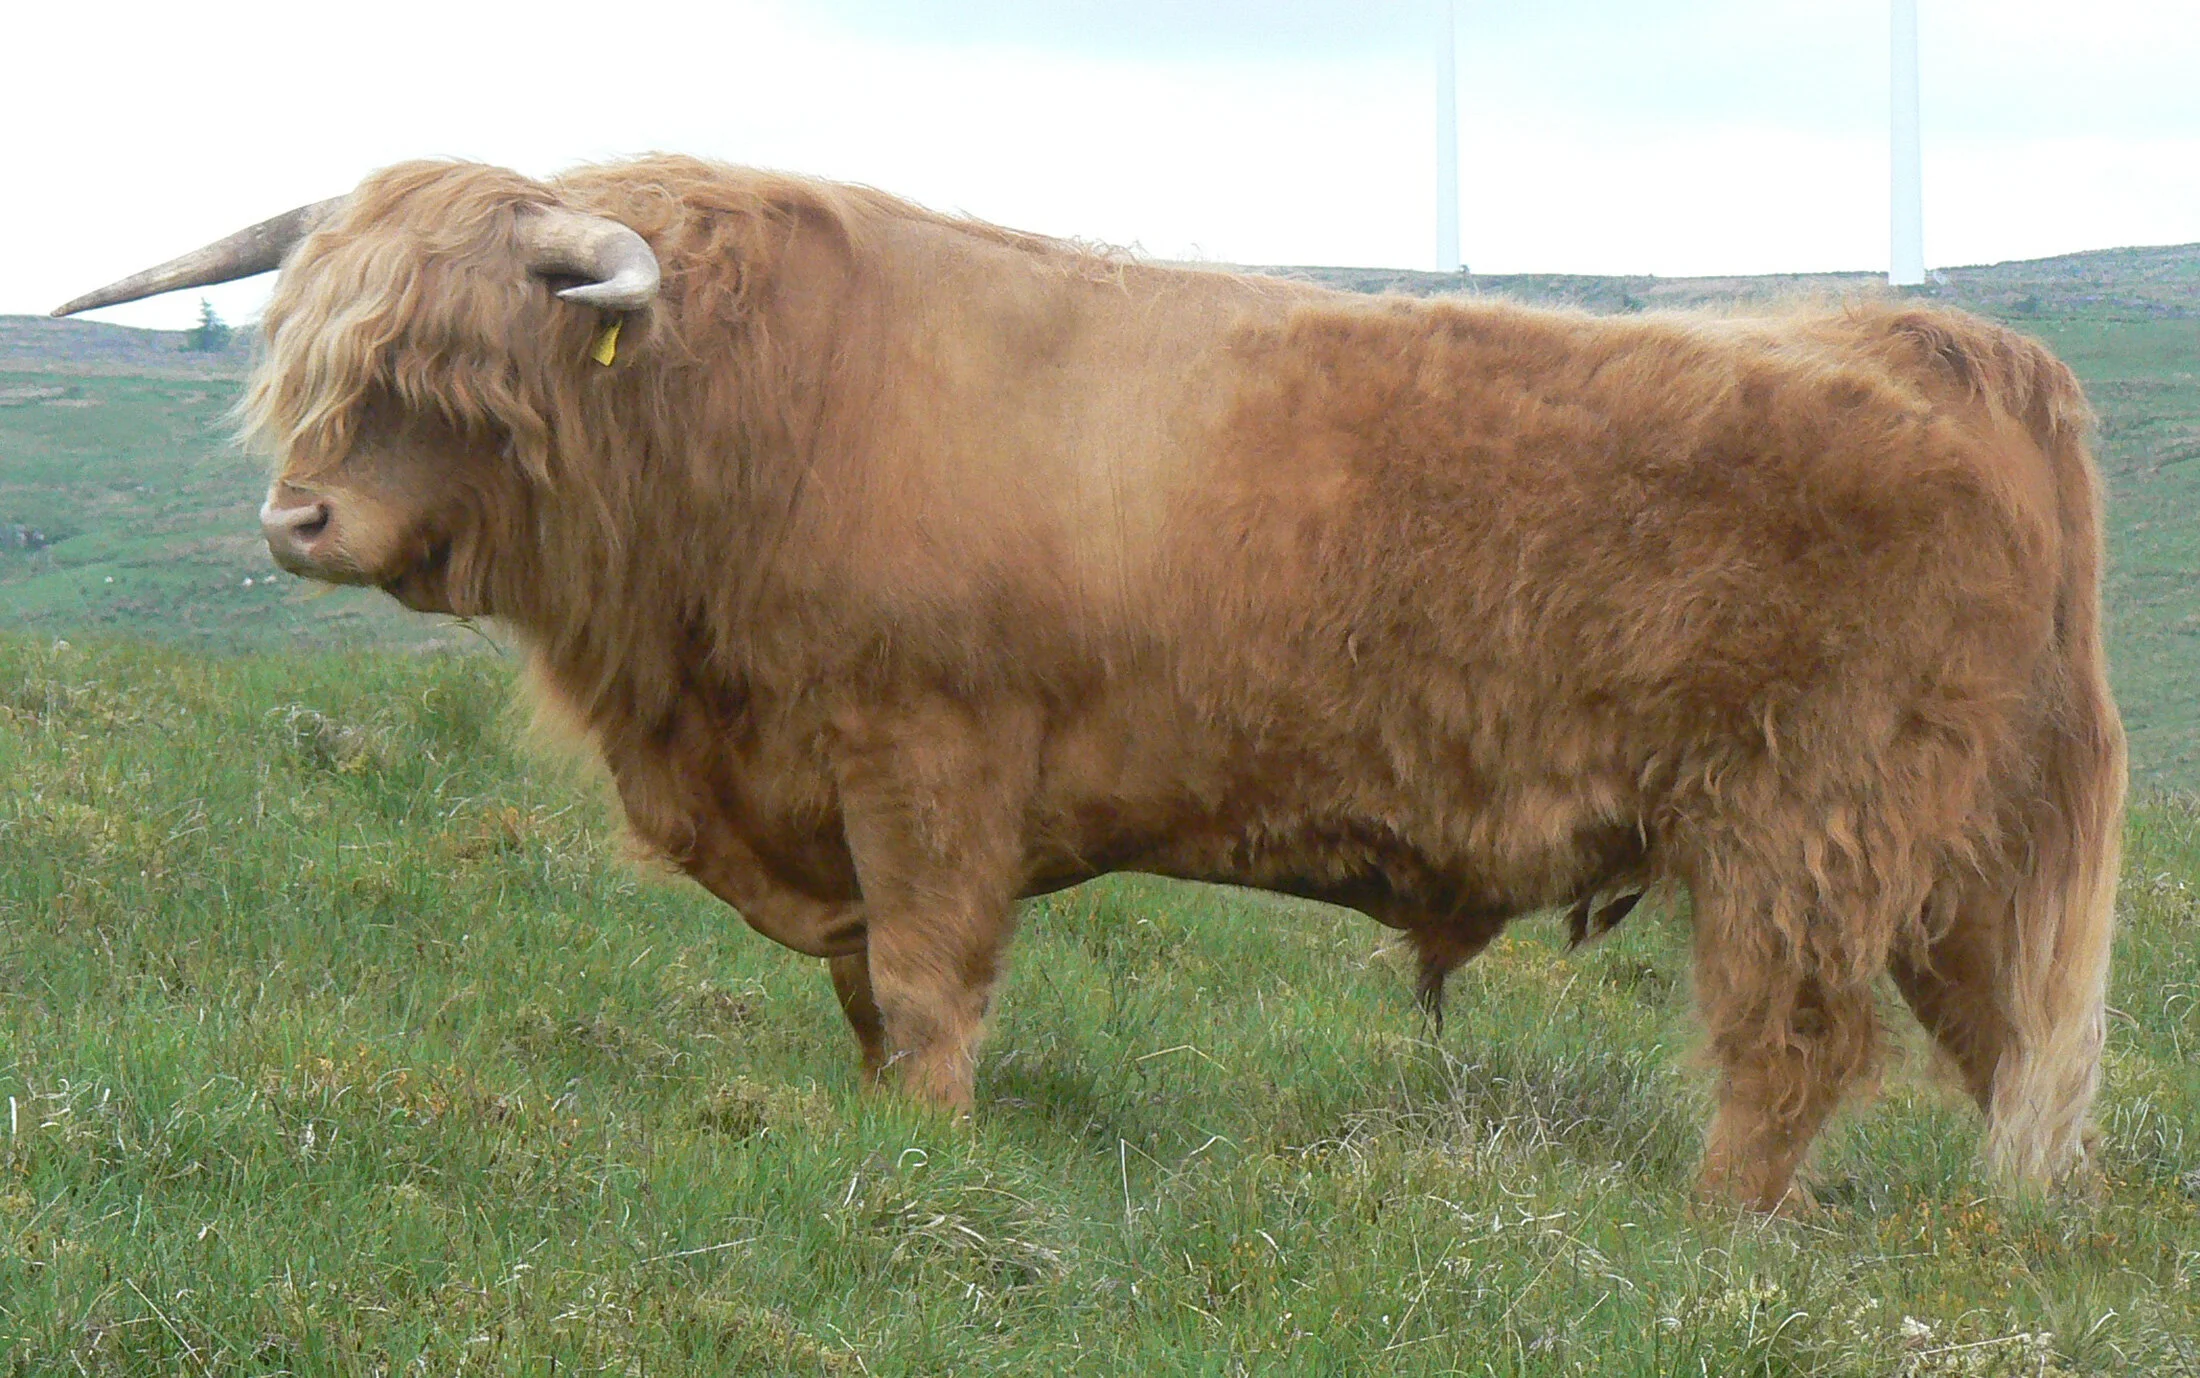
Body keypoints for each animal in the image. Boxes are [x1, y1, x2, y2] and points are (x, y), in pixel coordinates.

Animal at [55, 155, 2125, 1212]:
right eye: (312, 351)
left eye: (458, 368)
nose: (298, 518)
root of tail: (1940, 347)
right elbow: (865, 993)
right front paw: (878, 1128)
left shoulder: (931, 758)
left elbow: (927, 982)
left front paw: (927, 1154)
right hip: (1942, 856)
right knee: (2001, 1043)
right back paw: (2002, 1232)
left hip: (1808, 825)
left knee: (1795, 1044)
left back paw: (1705, 1240)